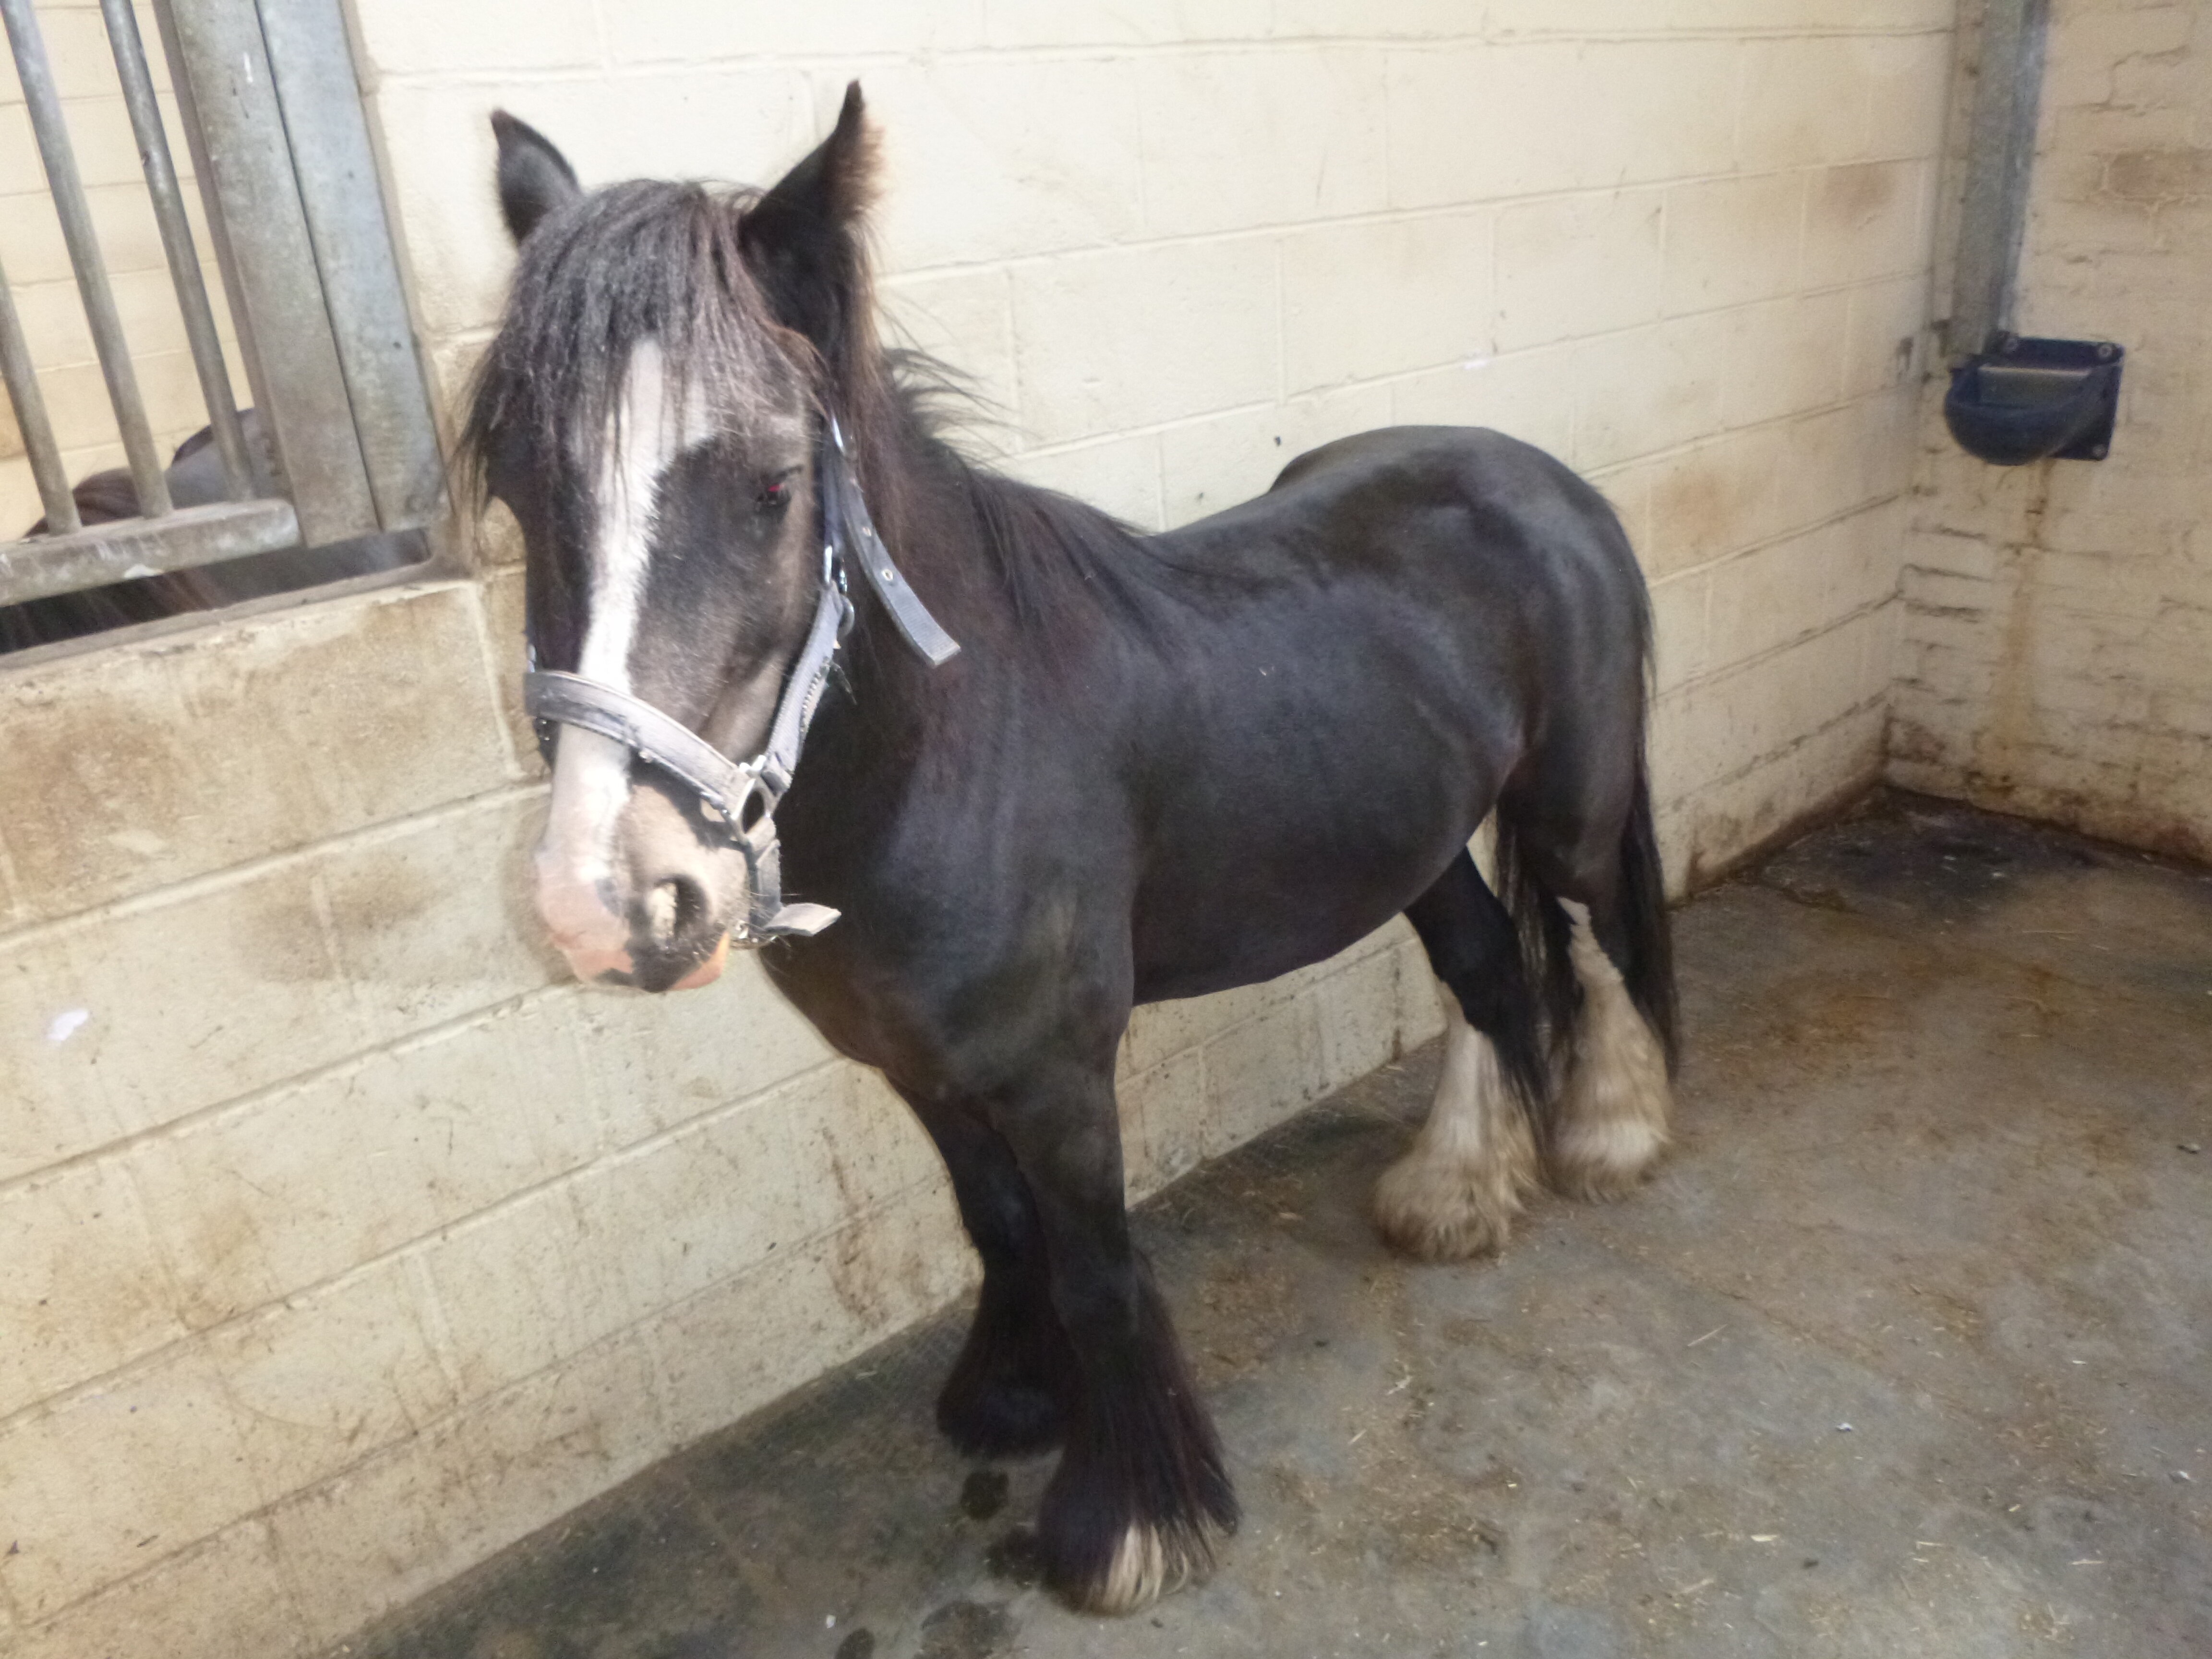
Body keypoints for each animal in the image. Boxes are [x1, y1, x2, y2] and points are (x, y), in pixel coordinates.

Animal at [468, 86, 1678, 1615]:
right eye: (520, 485)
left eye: (773, 484)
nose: (606, 900)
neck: (947, 758)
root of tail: (1543, 478)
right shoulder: (924, 1068)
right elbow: (1000, 1226)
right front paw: (1010, 1397)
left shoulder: (1055, 1074)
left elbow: (1099, 1269)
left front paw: (1132, 1519)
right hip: (1413, 839)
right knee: (1484, 969)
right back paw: (1457, 1189)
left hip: (1573, 812)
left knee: (1592, 938)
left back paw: (1614, 1132)